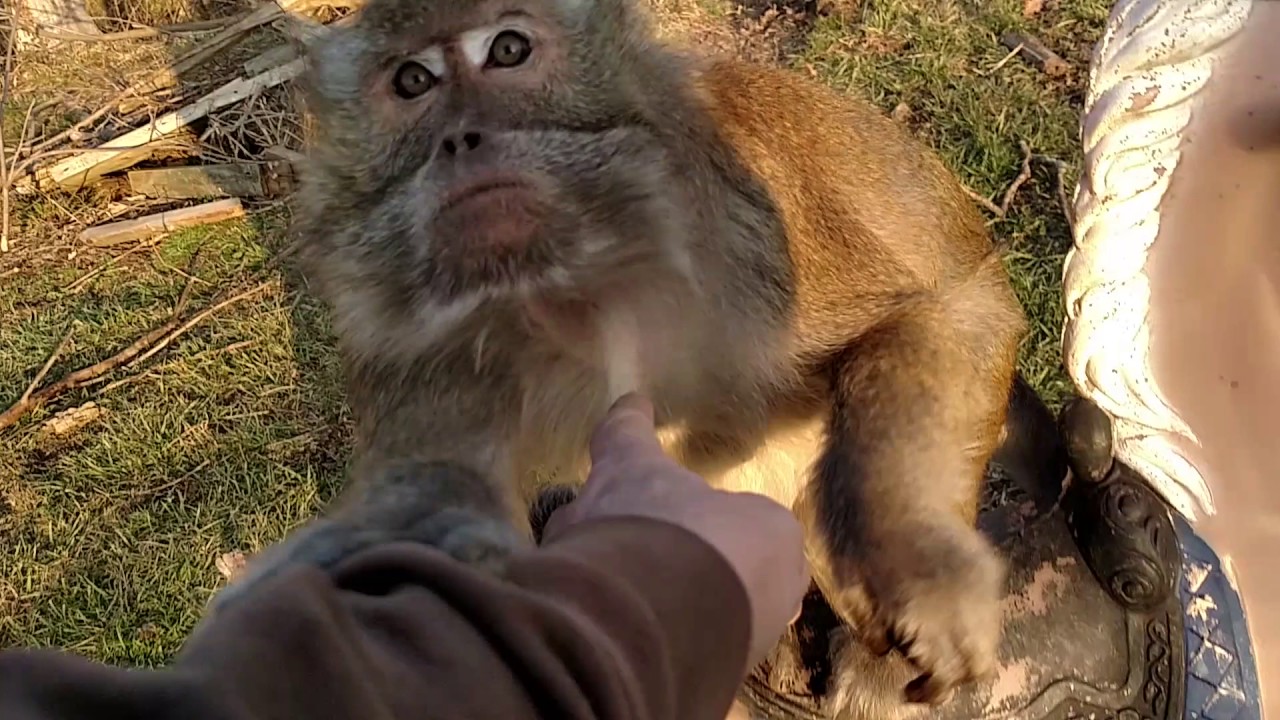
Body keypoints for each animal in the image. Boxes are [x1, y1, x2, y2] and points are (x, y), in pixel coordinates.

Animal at [211, 0, 1035, 714]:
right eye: (412, 81)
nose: (461, 140)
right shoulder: (417, 338)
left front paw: (914, 565)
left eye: (507, 49)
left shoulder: (750, 237)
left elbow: (946, 307)